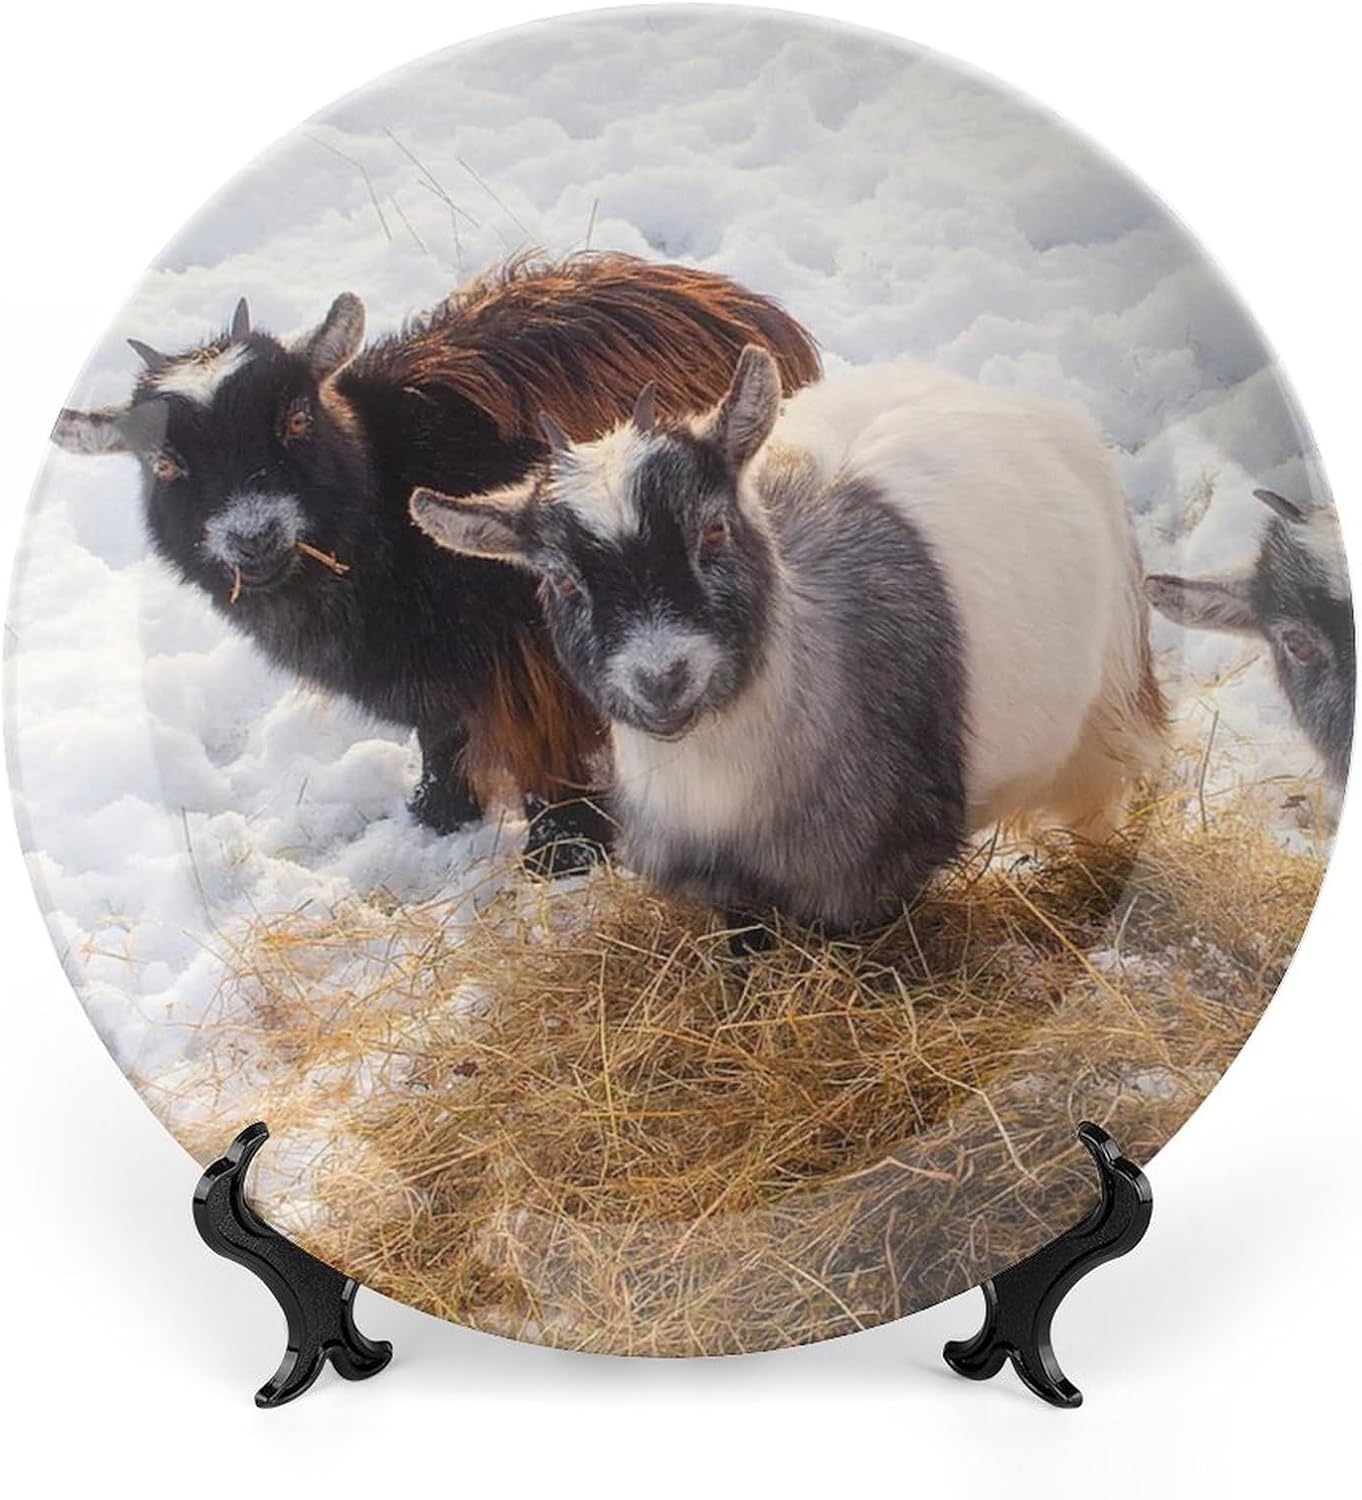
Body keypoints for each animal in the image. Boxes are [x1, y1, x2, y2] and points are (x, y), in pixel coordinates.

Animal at [50, 254, 821, 868]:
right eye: (165, 463)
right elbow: (442, 731)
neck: (388, 509)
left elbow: (547, 742)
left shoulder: (531, 652)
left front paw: (563, 850)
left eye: (296, 418)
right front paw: (438, 810)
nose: (254, 536)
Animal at [410, 347, 1167, 928]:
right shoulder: (725, 887)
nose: (662, 679)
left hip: (1108, 709)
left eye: (713, 530)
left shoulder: (873, 874)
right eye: (564, 581)